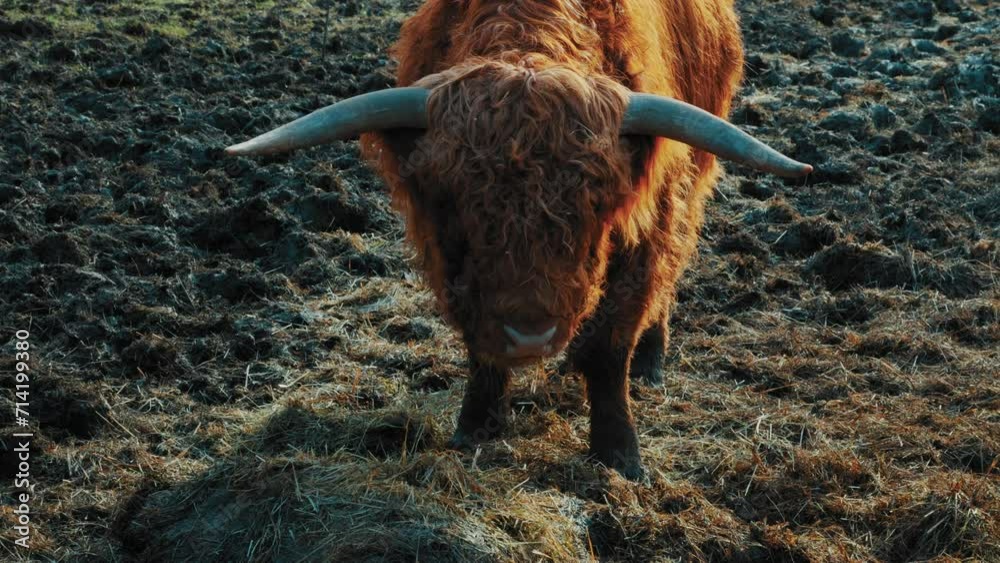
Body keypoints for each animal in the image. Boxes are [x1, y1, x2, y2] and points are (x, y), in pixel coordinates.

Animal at [227, 0, 811, 480]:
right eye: (458, 201)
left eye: (595, 204)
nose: (531, 335)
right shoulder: (451, 262)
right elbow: (479, 342)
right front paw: (476, 427)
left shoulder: (649, 226)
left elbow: (609, 348)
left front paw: (619, 455)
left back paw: (650, 361)